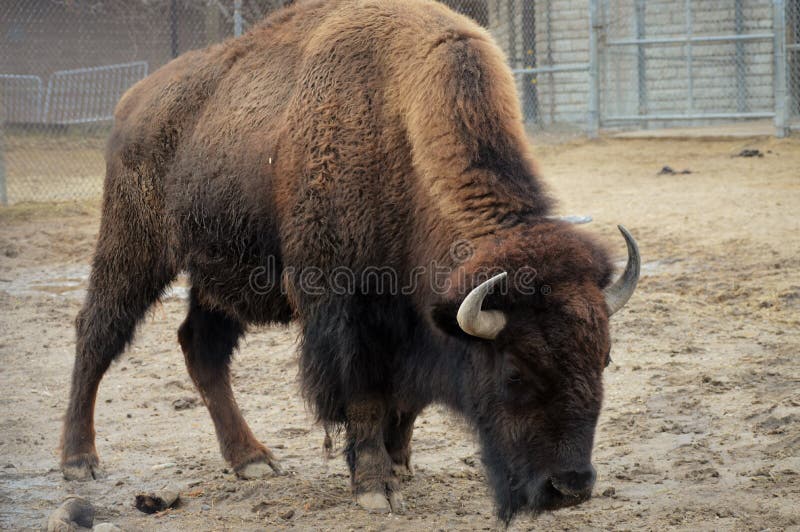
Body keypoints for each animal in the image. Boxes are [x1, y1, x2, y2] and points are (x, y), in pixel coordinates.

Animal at [61, 0, 640, 522]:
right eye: (516, 372)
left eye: (604, 359)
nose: (570, 487)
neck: (400, 125)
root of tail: (132, 102)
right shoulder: (347, 310)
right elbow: (364, 393)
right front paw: (376, 486)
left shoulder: (413, 317)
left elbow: (407, 397)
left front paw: (400, 462)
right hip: (136, 246)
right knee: (98, 330)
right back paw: (78, 460)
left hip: (219, 272)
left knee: (201, 347)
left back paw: (252, 459)